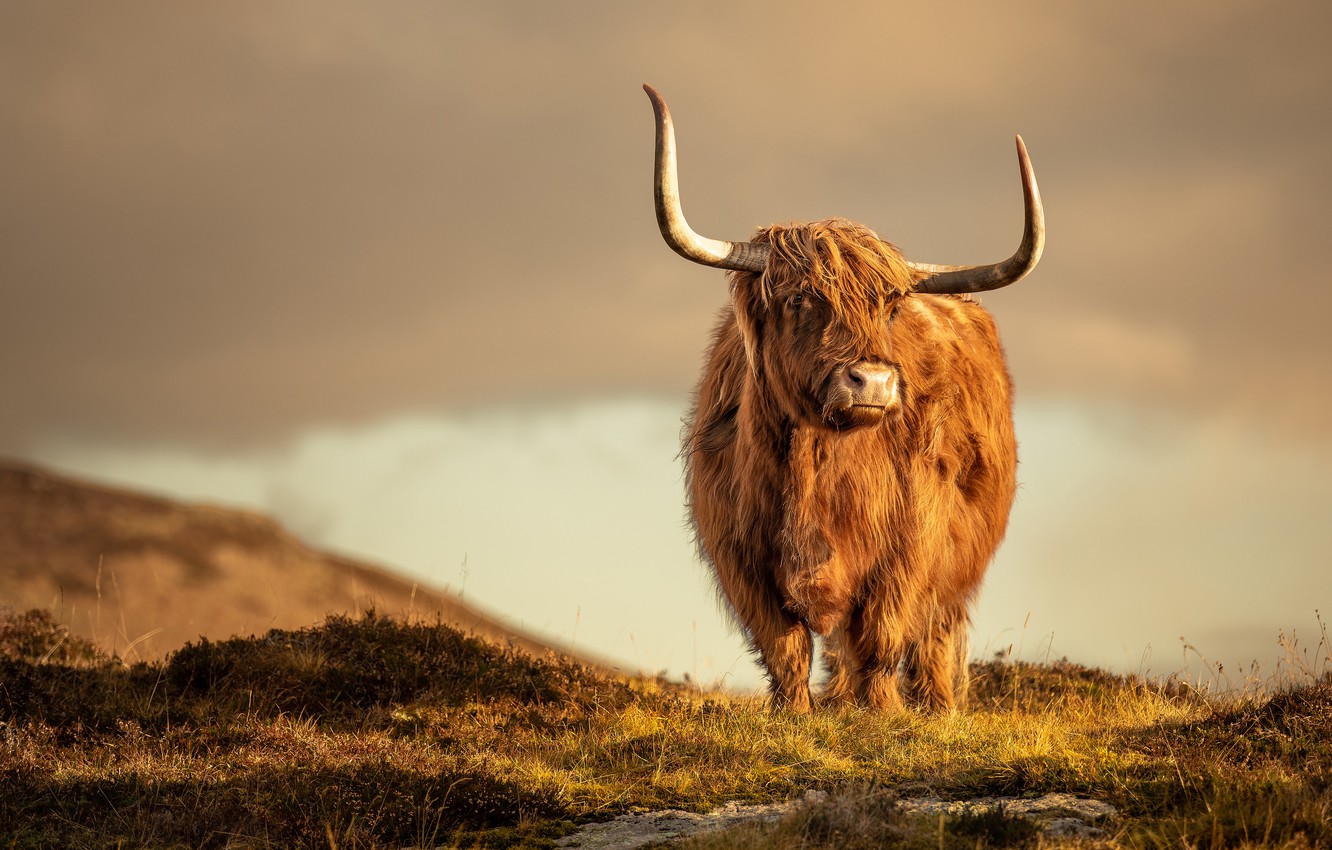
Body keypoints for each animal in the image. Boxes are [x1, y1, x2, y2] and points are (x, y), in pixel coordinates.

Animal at [644, 84, 1044, 713]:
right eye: (799, 298)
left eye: (890, 307)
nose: (872, 382)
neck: (815, 466)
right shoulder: (742, 558)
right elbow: (784, 646)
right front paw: (795, 714)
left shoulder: (909, 546)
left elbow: (882, 635)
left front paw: (882, 714)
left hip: (956, 569)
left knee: (934, 634)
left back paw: (937, 708)